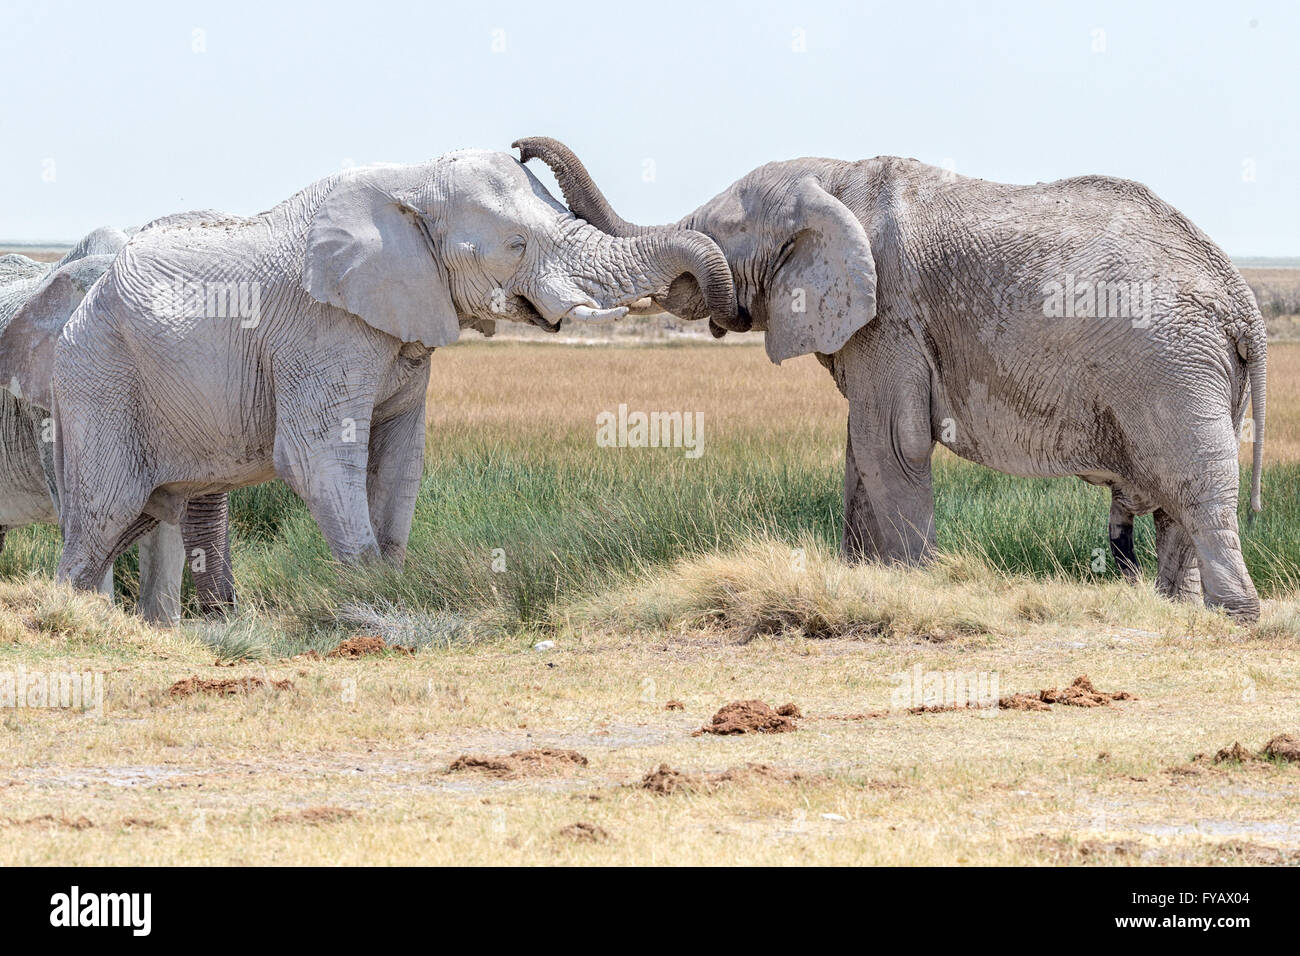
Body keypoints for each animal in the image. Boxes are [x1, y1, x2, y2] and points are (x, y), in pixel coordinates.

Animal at [10, 150, 732, 594]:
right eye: (516, 245)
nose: (525, 143)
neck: (410, 180)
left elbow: (400, 457)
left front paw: (391, 584)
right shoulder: (319, 332)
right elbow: (317, 457)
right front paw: (371, 603)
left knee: (127, 519)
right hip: (100, 383)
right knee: (102, 515)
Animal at [515, 137, 1268, 622]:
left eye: (723, 230)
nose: (520, 150)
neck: (835, 179)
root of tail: (1245, 305)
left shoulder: (891, 315)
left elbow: (892, 443)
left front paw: (915, 588)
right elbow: (860, 450)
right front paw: (858, 581)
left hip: (1172, 362)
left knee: (1198, 481)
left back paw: (1236, 616)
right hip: (1195, 367)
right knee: (1174, 496)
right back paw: (1179, 610)